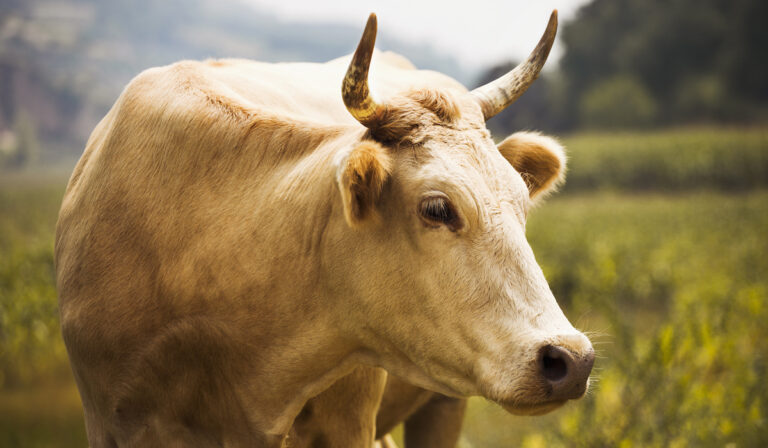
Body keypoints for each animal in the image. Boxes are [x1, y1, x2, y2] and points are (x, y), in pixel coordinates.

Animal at [55, 9, 594, 447]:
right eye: (438, 209)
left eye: (522, 202)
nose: (571, 359)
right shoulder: (107, 423)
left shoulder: (346, 426)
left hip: (441, 407)